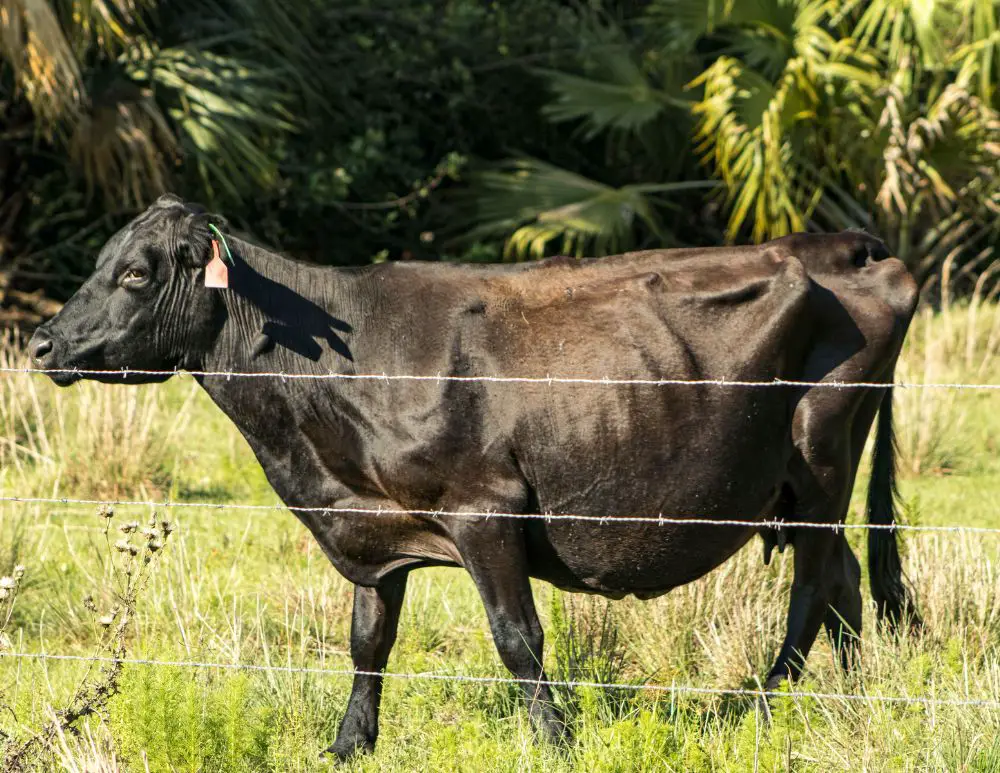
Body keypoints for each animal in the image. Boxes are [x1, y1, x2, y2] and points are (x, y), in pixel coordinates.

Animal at [28, 195, 920, 761]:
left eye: (136, 273)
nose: (40, 342)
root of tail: (845, 245)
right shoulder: (378, 522)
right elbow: (368, 640)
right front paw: (350, 742)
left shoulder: (485, 510)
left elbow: (518, 635)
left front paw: (557, 740)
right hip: (803, 490)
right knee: (843, 585)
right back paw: (850, 702)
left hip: (821, 464)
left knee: (813, 590)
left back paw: (763, 709)